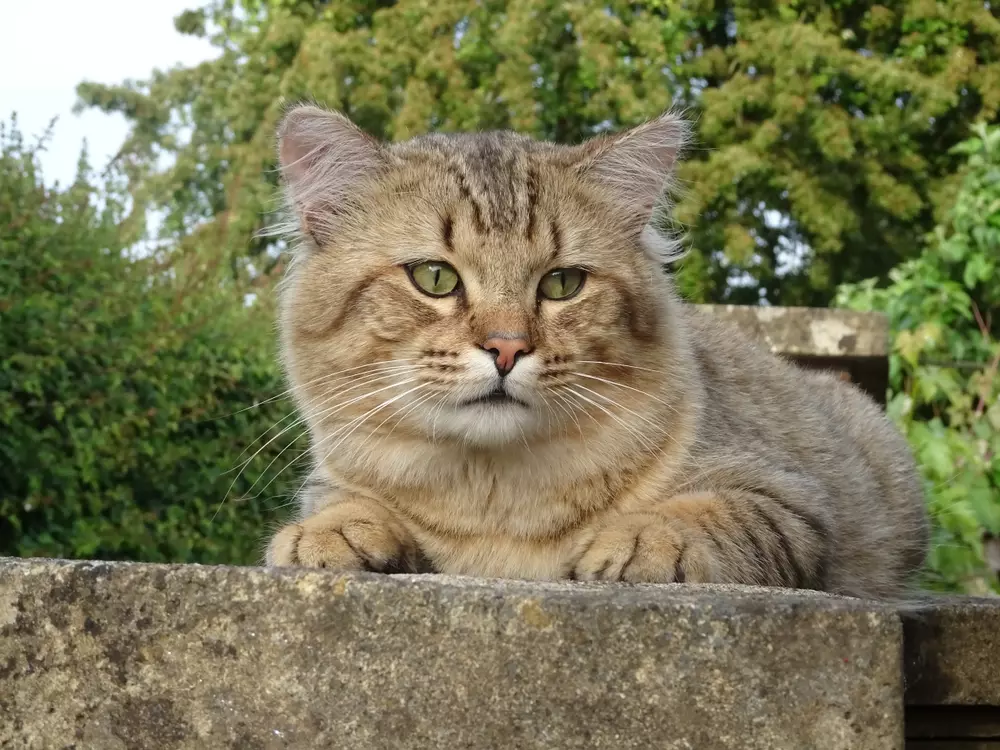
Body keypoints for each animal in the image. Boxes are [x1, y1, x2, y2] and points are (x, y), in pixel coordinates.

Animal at [266, 104, 928, 600]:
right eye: (434, 277)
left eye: (562, 284)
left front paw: (642, 539)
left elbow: (709, 514)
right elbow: (343, 501)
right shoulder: (335, 479)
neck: (492, 496)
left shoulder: (790, 501)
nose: (506, 348)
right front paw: (327, 532)